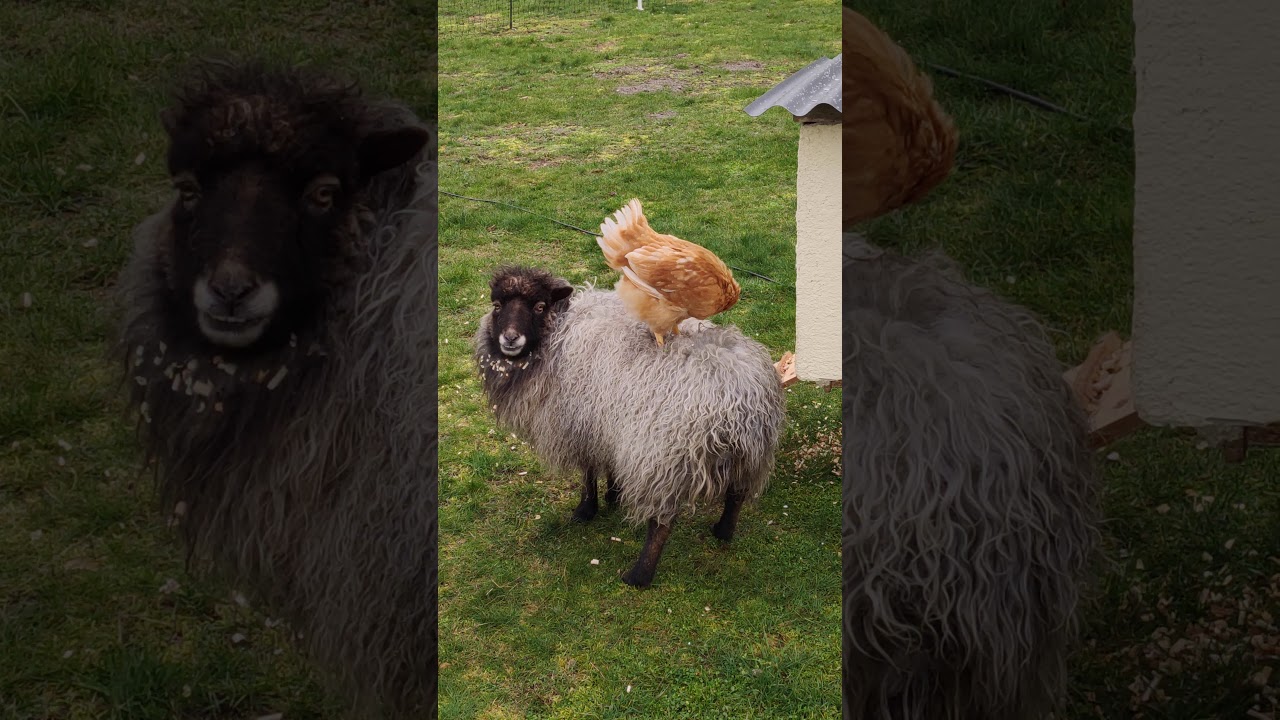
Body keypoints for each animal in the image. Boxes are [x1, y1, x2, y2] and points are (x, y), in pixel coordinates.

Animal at [473, 266, 786, 588]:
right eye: (496, 305)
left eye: (538, 306)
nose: (510, 339)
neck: (558, 333)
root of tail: (738, 393)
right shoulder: (606, 424)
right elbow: (607, 465)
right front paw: (614, 495)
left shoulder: (578, 424)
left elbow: (587, 473)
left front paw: (586, 510)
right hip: (751, 454)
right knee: (737, 495)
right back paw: (723, 532)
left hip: (664, 457)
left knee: (662, 522)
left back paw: (639, 575)